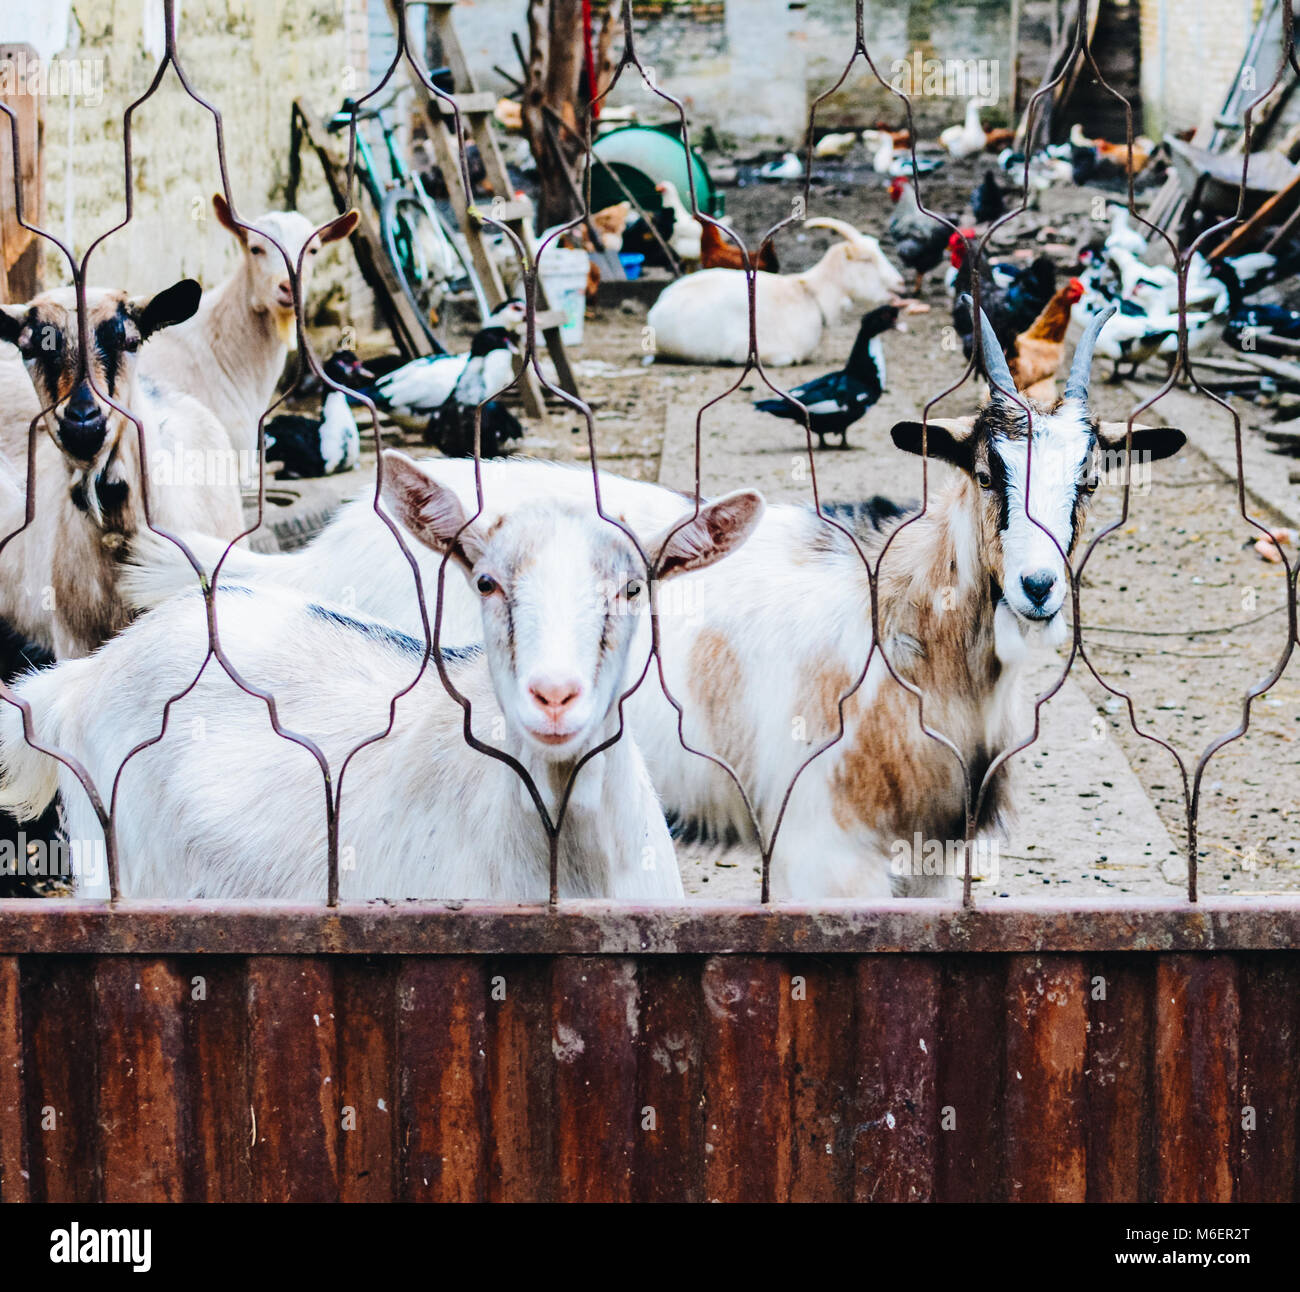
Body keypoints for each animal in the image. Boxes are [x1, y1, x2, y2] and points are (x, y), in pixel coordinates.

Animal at [122, 308, 1185, 899]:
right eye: (985, 468)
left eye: (1089, 479)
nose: (1039, 588)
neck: (896, 630)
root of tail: (320, 554)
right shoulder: (820, 851)